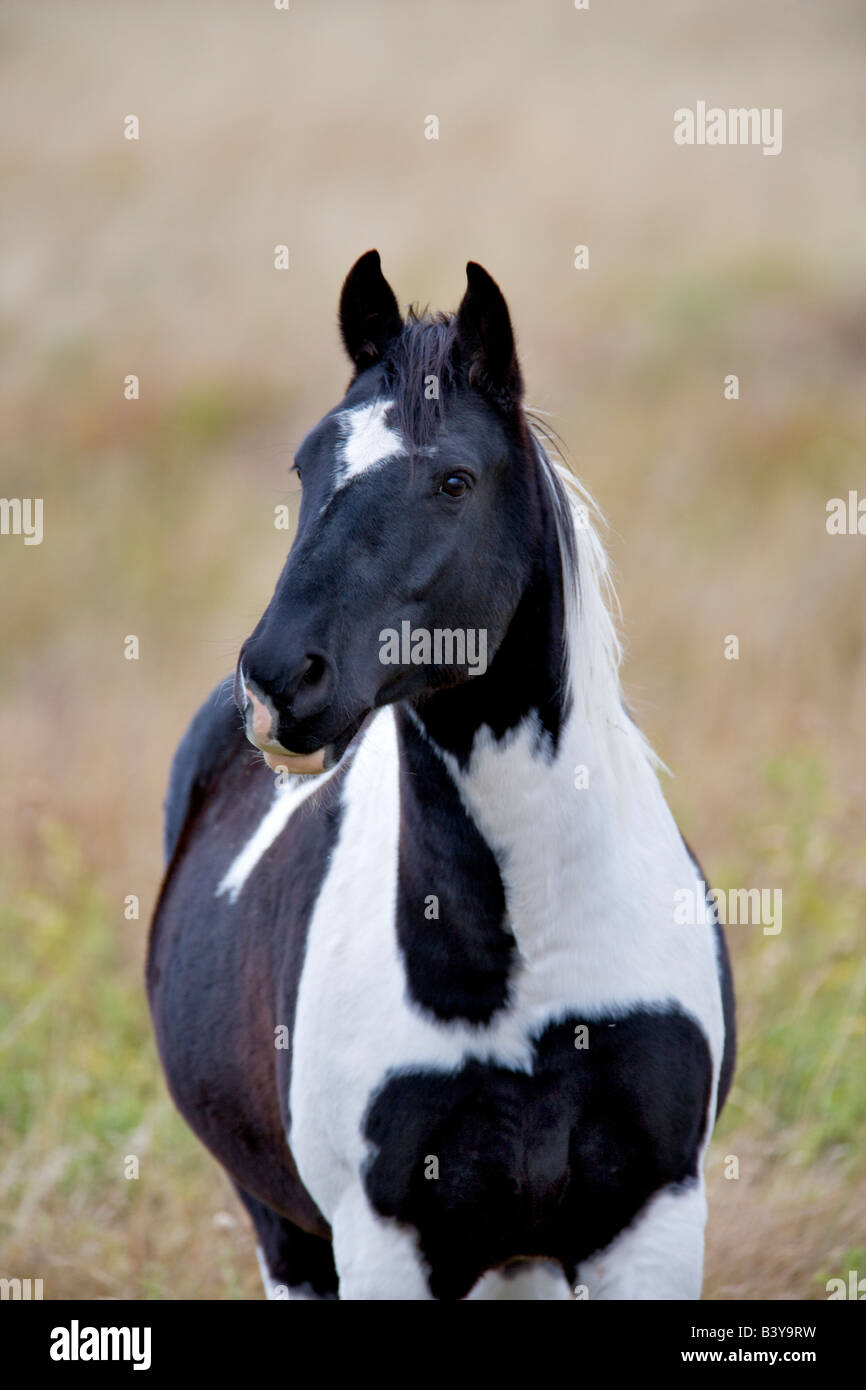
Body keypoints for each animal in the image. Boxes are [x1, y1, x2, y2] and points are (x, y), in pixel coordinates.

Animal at [147, 251, 735, 1301]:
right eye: (306, 468)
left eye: (455, 480)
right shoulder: (387, 1242)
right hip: (289, 1235)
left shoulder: (653, 1222)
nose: (277, 681)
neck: (526, 964)